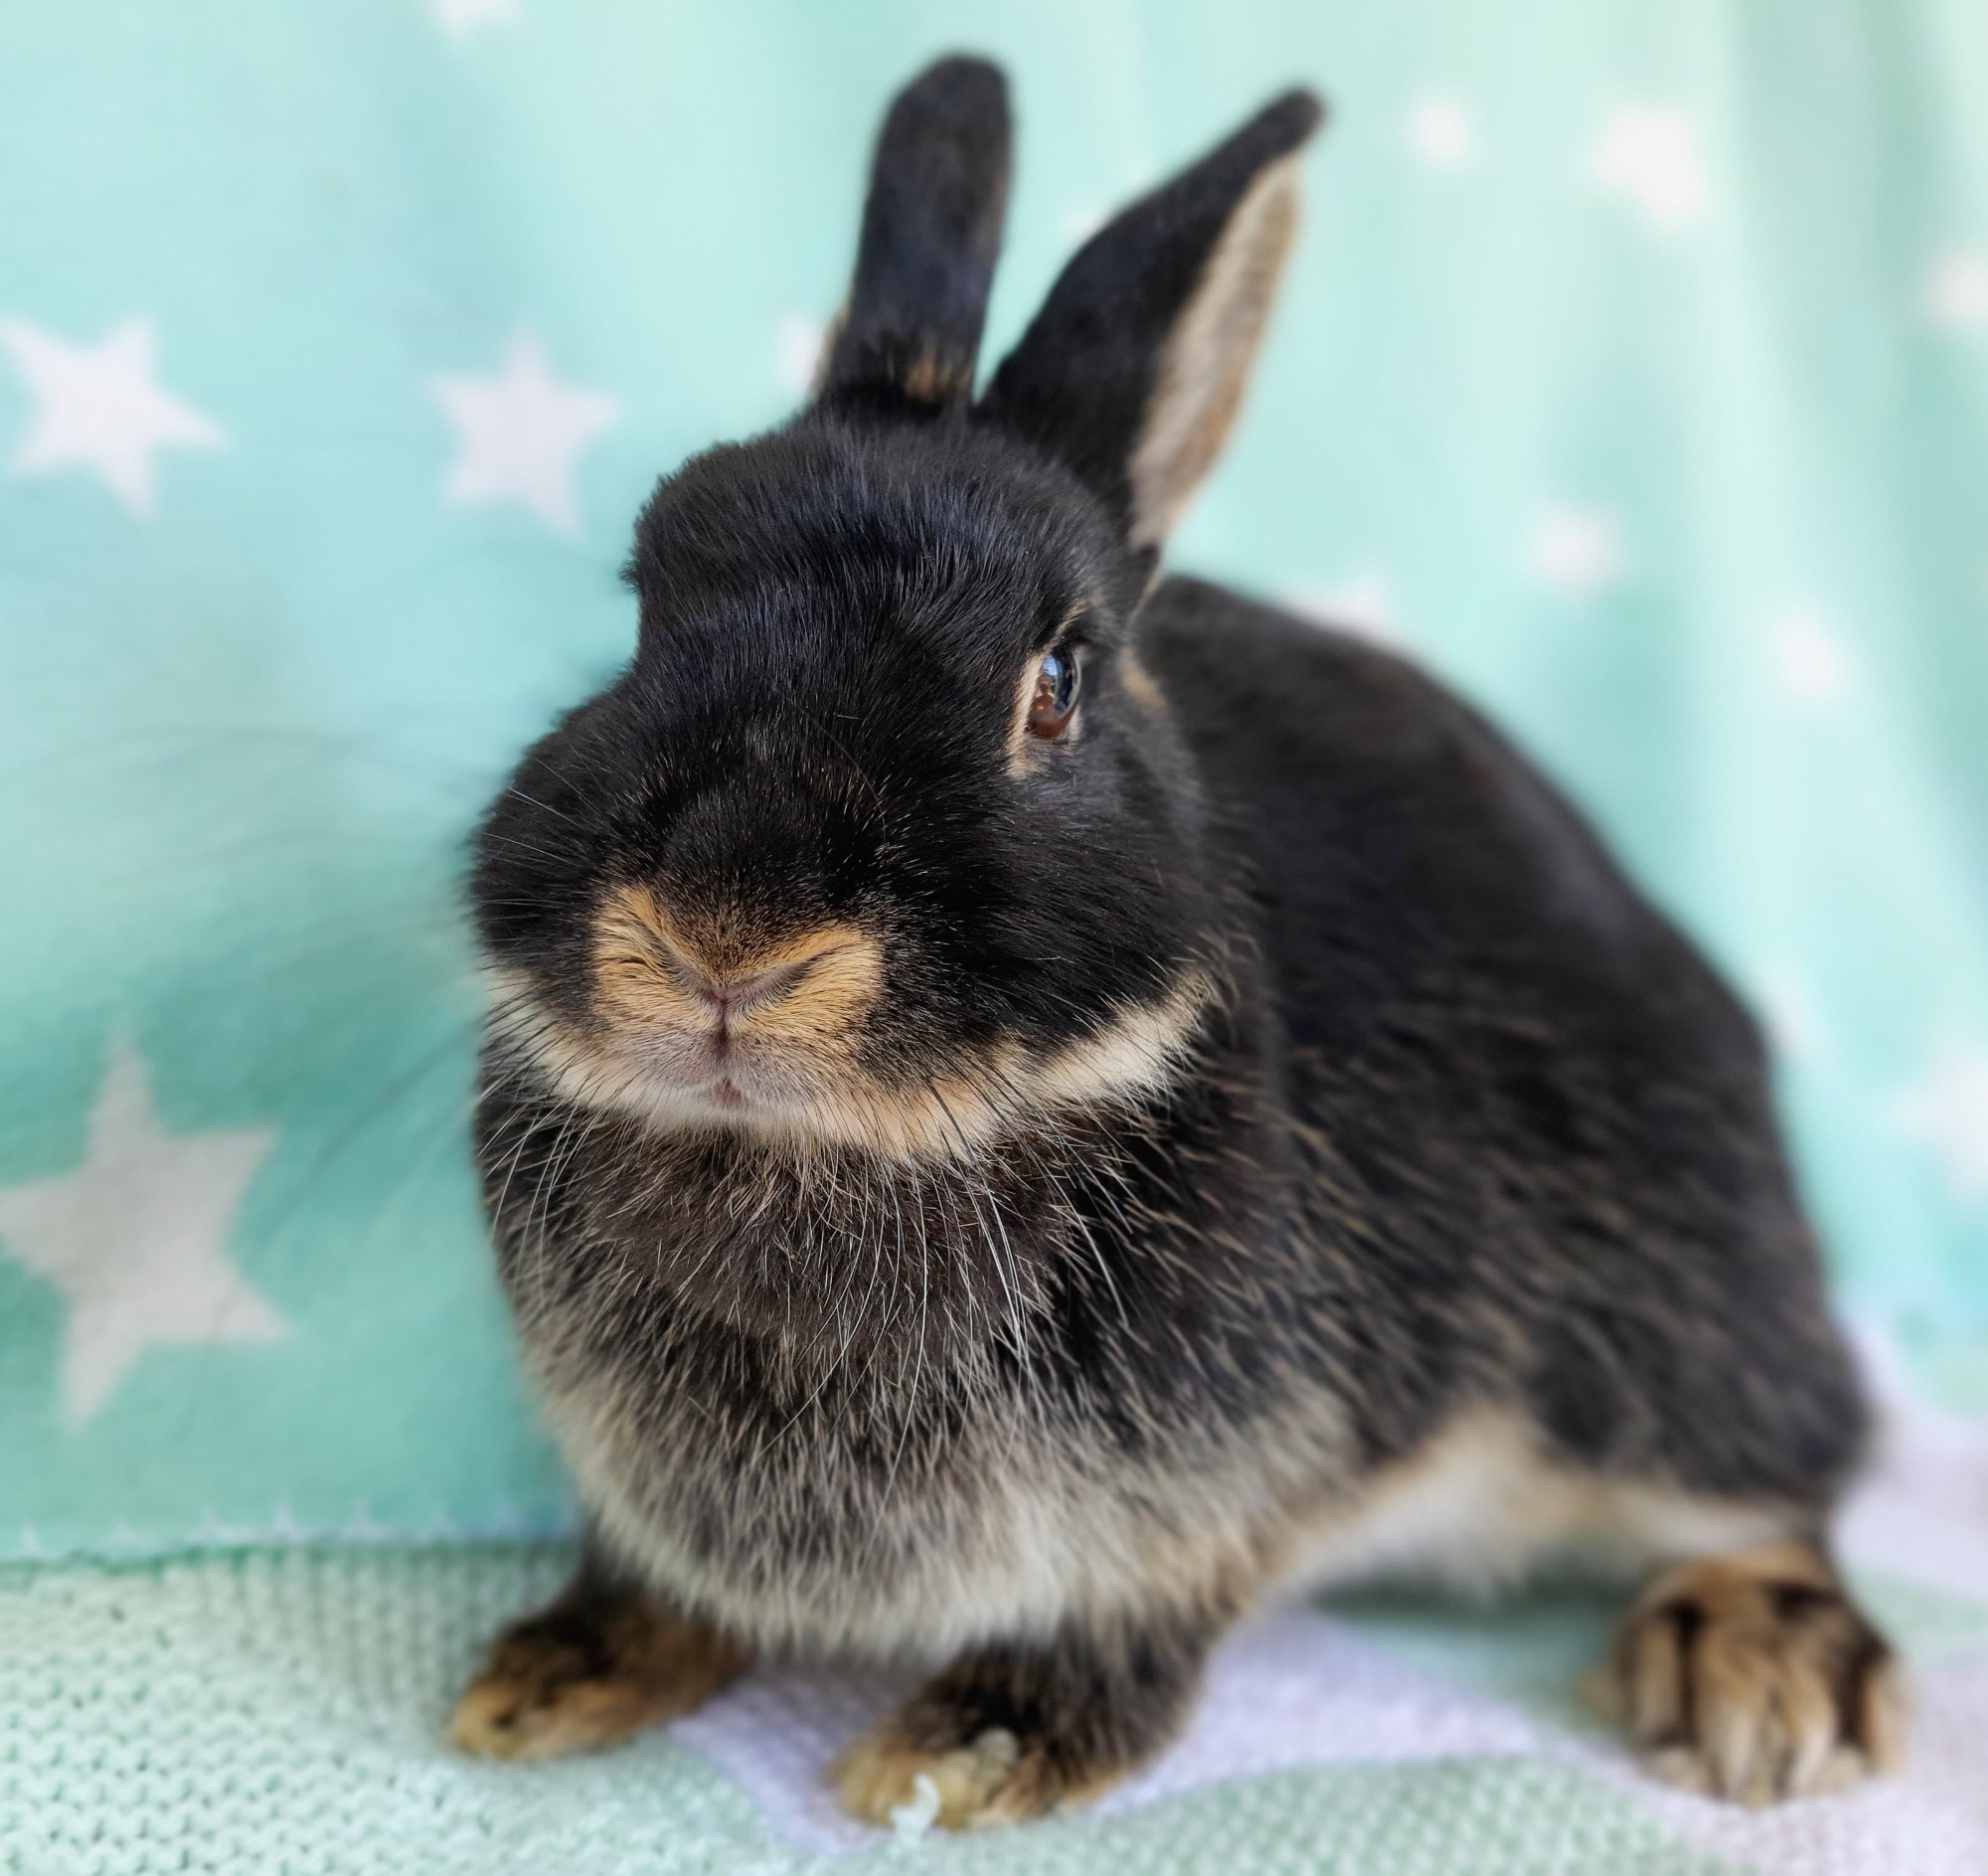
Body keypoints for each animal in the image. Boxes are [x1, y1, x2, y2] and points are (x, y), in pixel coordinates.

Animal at [449, 55, 1902, 1824]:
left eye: (1057, 681)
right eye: (644, 608)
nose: (729, 939)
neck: (825, 1150)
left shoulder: (1187, 1505)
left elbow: (1119, 1634)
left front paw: (959, 1751)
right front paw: (551, 1674)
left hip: (1671, 1317)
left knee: (1773, 1480)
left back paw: (1757, 1673)